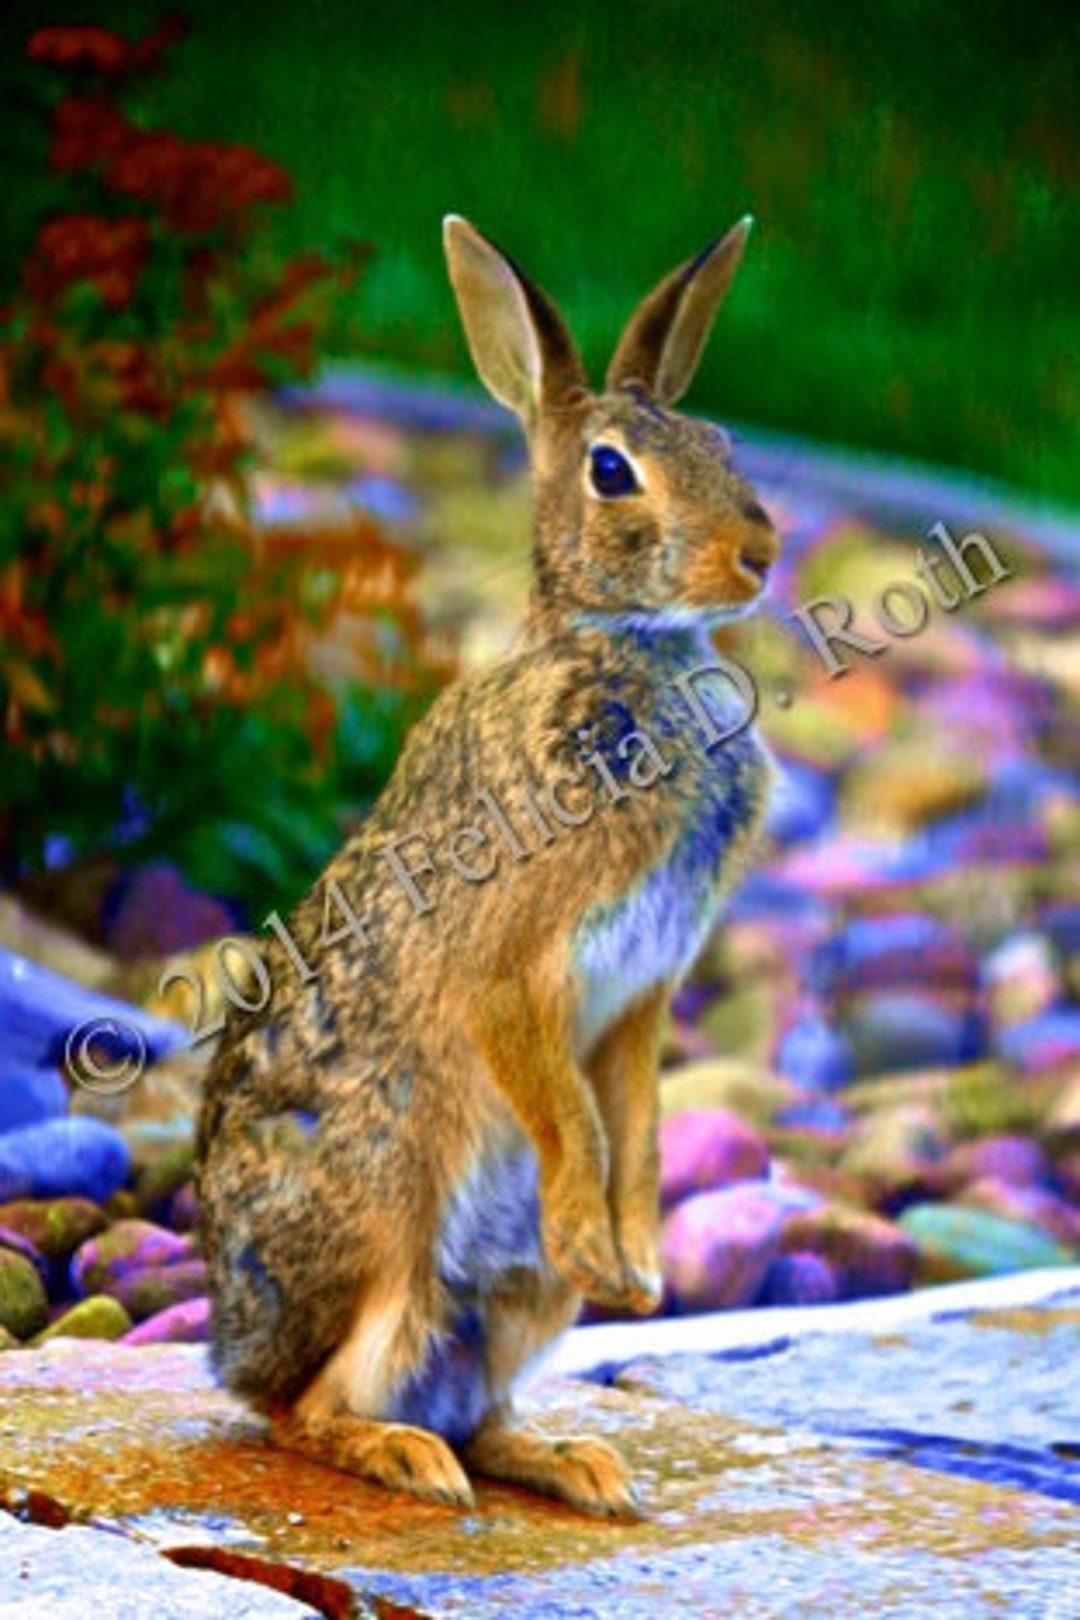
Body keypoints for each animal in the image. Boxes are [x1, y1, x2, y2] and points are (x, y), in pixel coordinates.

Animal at [195, 213, 781, 1519]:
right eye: (614, 472)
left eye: (721, 441)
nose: (759, 553)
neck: (626, 653)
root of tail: (234, 1340)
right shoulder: (521, 968)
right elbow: (566, 1107)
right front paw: (600, 1244)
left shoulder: (644, 1000)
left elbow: (636, 1125)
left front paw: (642, 1274)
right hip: (388, 1232)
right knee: (304, 1413)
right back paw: (403, 1458)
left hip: (512, 1304)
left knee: (477, 1404)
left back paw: (574, 1463)